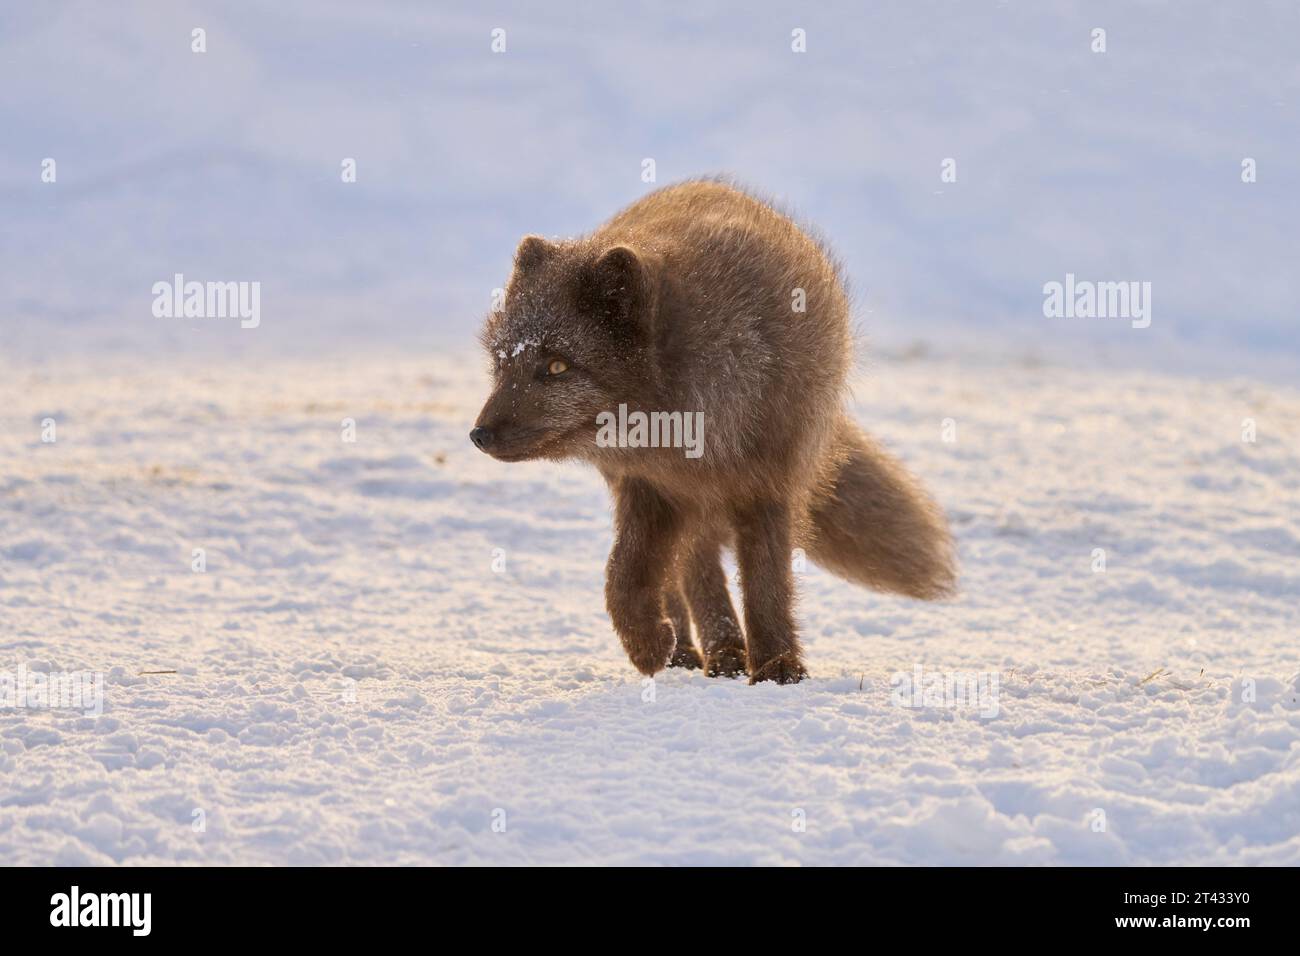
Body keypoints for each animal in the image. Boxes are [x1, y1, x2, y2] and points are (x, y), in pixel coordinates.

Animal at [472, 179, 956, 684]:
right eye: (501, 363)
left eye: (557, 366)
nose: (478, 435)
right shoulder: (650, 485)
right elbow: (623, 575)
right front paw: (649, 647)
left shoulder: (768, 486)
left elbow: (766, 580)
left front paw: (778, 666)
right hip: (683, 501)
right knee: (689, 571)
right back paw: (701, 653)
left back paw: (723, 654)